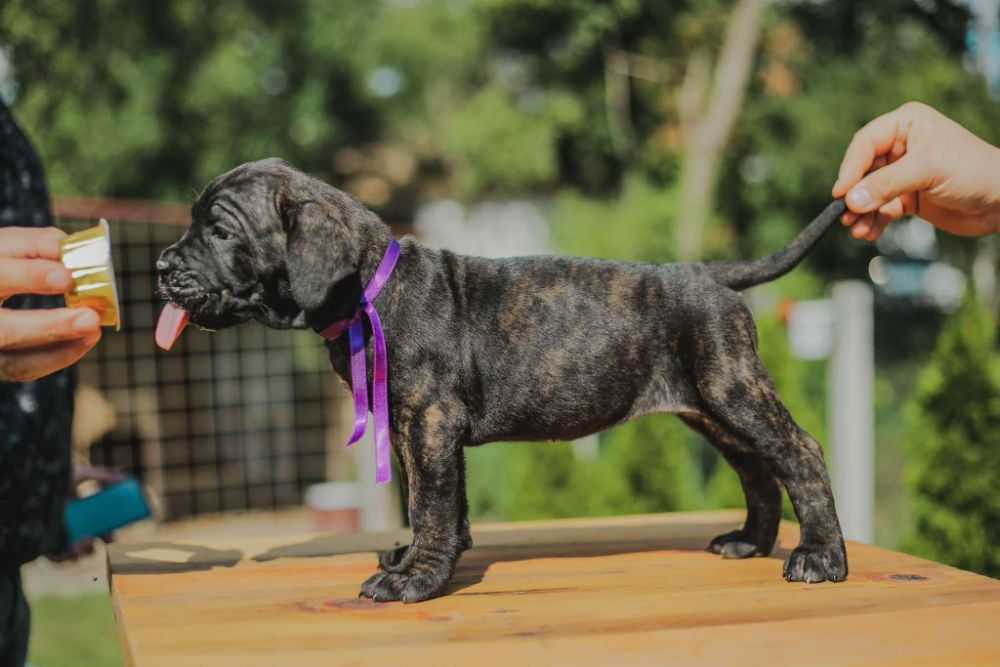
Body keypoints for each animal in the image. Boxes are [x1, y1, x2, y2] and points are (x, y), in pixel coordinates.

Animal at [160, 158, 848, 604]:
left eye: (219, 231)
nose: (162, 266)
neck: (370, 289)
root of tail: (711, 274)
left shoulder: (428, 421)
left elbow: (429, 501)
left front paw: (414, 579)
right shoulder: (411, 425)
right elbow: (438, 502)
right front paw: (417, 560)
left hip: (731, 387)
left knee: (800, 452)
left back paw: (819, 557)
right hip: (708, 406)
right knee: (756, 467)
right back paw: (750, 543)